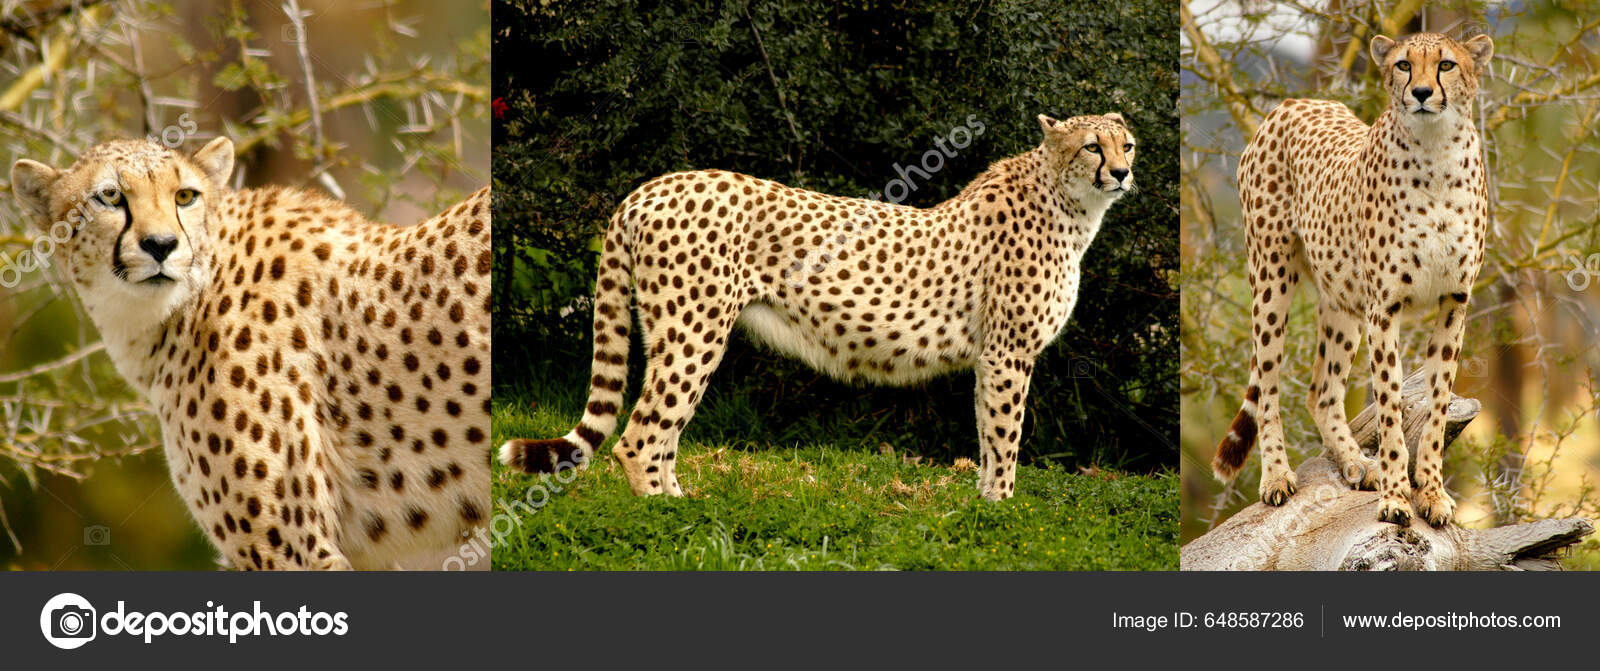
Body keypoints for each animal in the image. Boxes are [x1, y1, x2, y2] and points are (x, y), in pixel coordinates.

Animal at [500, 112, 1136, 501]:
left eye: (1125, 143)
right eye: (1092, 146)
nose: (1123, 172)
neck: (1068, 201)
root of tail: (649, 187)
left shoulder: (992, 359)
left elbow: (986, 436)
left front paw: (984, 505)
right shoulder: (1007, 355)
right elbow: (1005, 438)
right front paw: (1001, 510)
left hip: (676, 333)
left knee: (663, 434)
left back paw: (686, 503)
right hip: (694, 332)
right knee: (640, 437)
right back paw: (664, 517)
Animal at [1211, 33, 1495, 527]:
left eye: (1446, 65)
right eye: (1403, 65)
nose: (1422, 93)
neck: (1436, 152)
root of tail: (1295, 101)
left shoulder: (1453, 304)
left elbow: (1438, 406)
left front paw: (1432, 492)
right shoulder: (1385, 308)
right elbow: (1389, 406)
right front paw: (1397, 497)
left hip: (1341, 298)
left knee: (1321, 393)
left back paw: (1354, 462)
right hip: (1271, 280)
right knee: (1268, 384)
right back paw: (1277, 476)